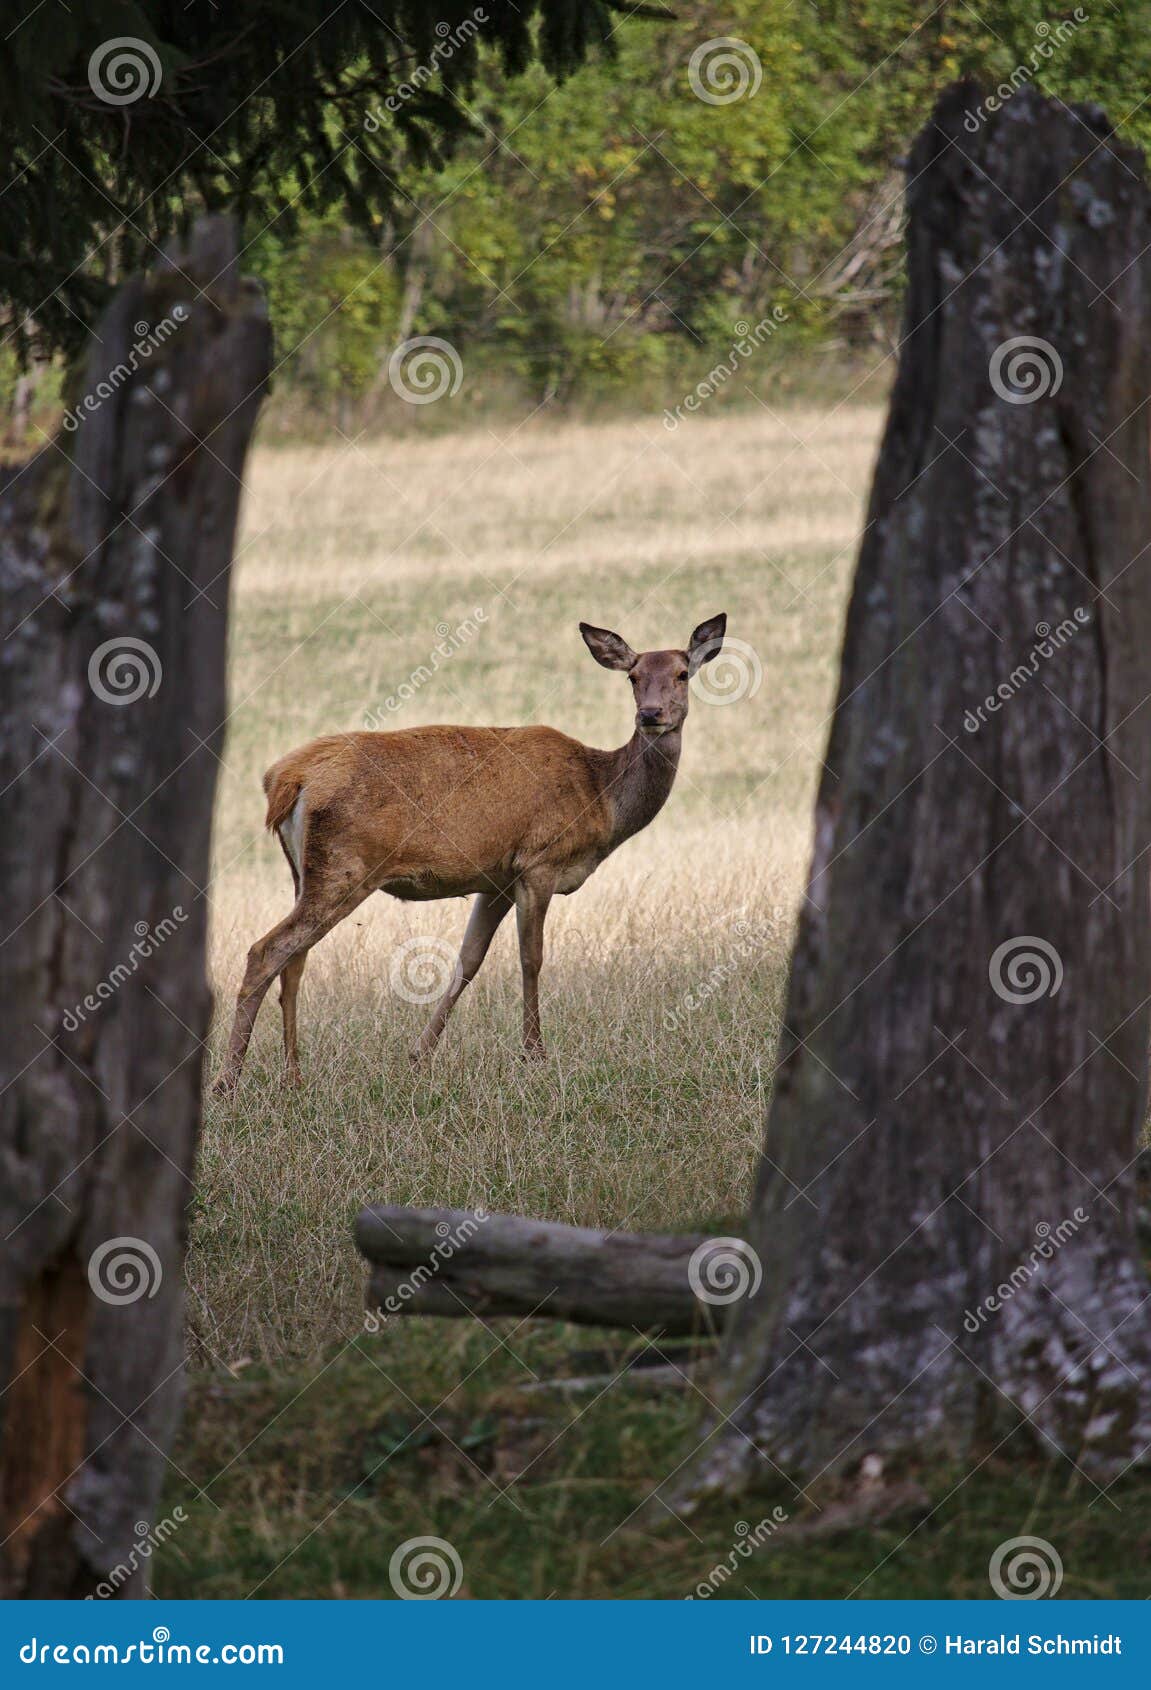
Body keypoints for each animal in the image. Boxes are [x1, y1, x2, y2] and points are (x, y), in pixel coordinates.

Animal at [212, 614, 726, 1095]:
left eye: (682, 673)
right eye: (633, 676)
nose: (652, 714)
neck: (600, 796)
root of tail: (285, 780)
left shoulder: (497, 878)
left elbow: (468, 960)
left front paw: (419, 1054)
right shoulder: (539, 861)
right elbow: (531, 958)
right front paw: (533, 1054)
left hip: (305, 873)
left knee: (294, 960)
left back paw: (293, 1075)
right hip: (345, 867)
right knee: (266, 950)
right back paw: (228, 1080)